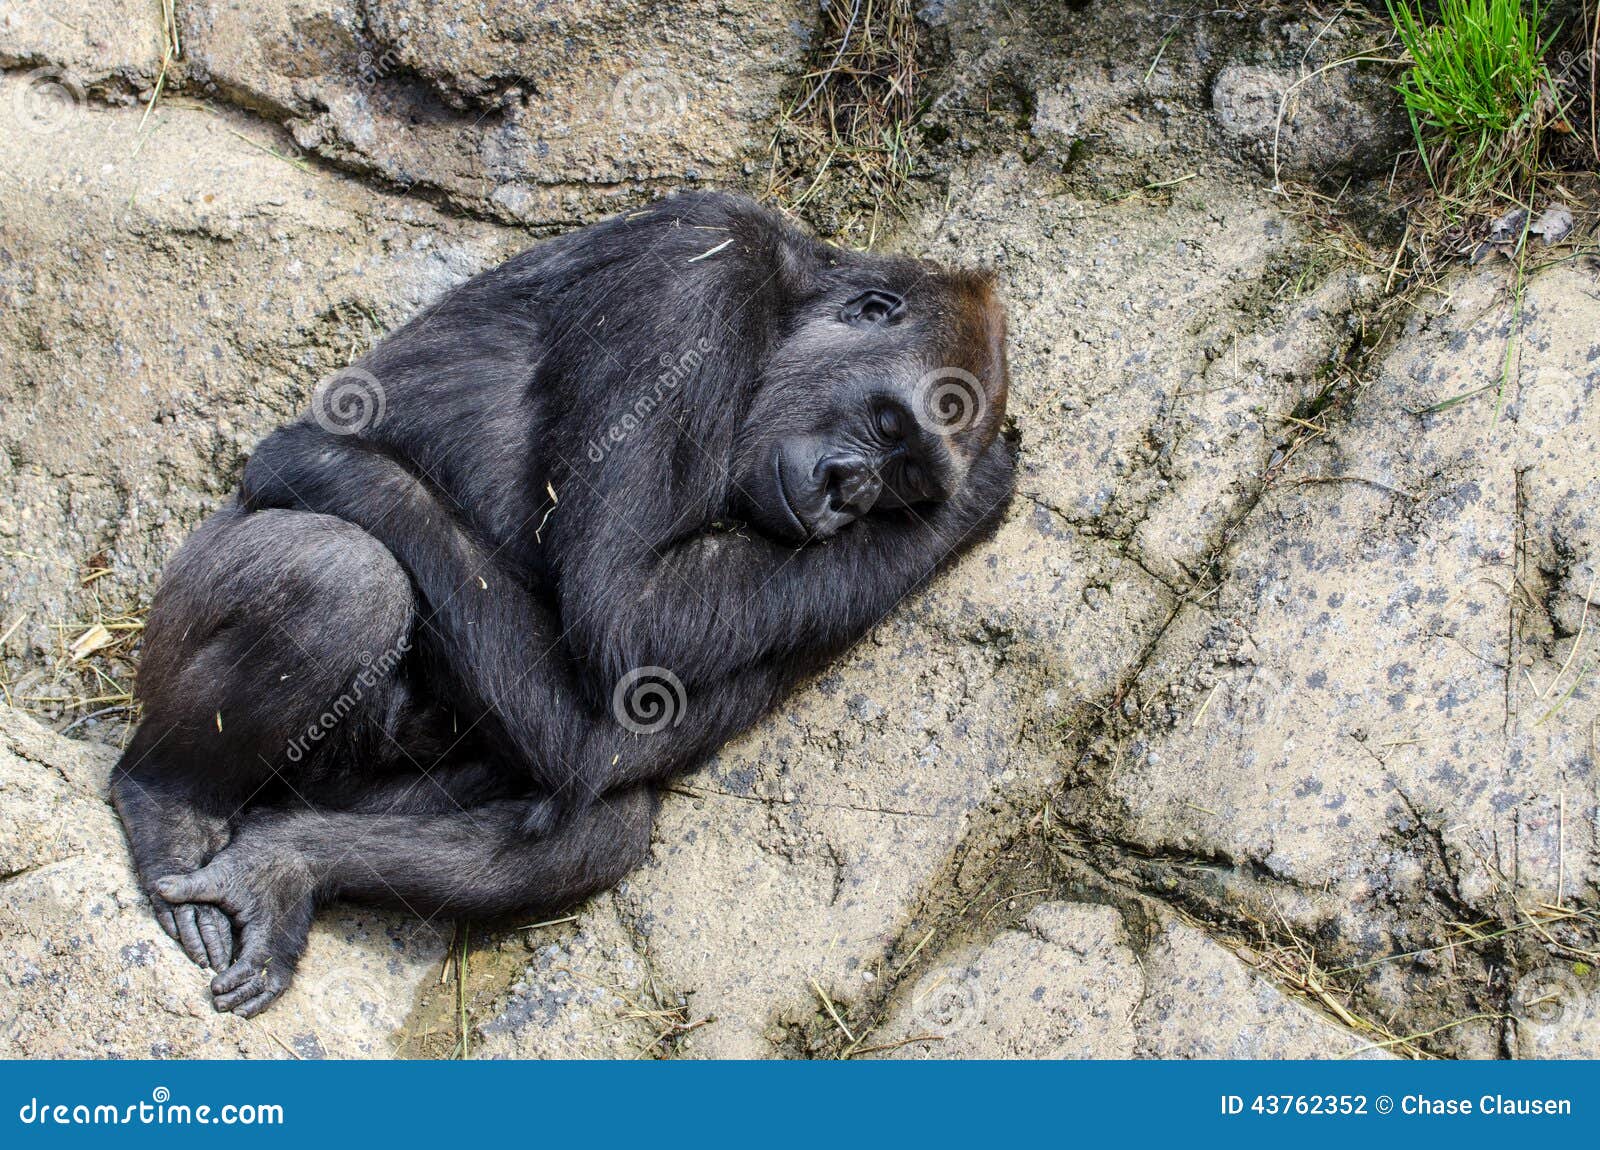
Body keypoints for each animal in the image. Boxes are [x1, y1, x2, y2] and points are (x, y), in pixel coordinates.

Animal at [110, 191, 1014, 1017]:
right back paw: (167, 800)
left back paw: (286, 862)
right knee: (342, 580)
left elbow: (630, 713)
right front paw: (323, 458)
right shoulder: (695, 277)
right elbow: (629, 608)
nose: (847, 494)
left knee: (596, 822)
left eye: (905, 482)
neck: (789, 297)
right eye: (890, 426)